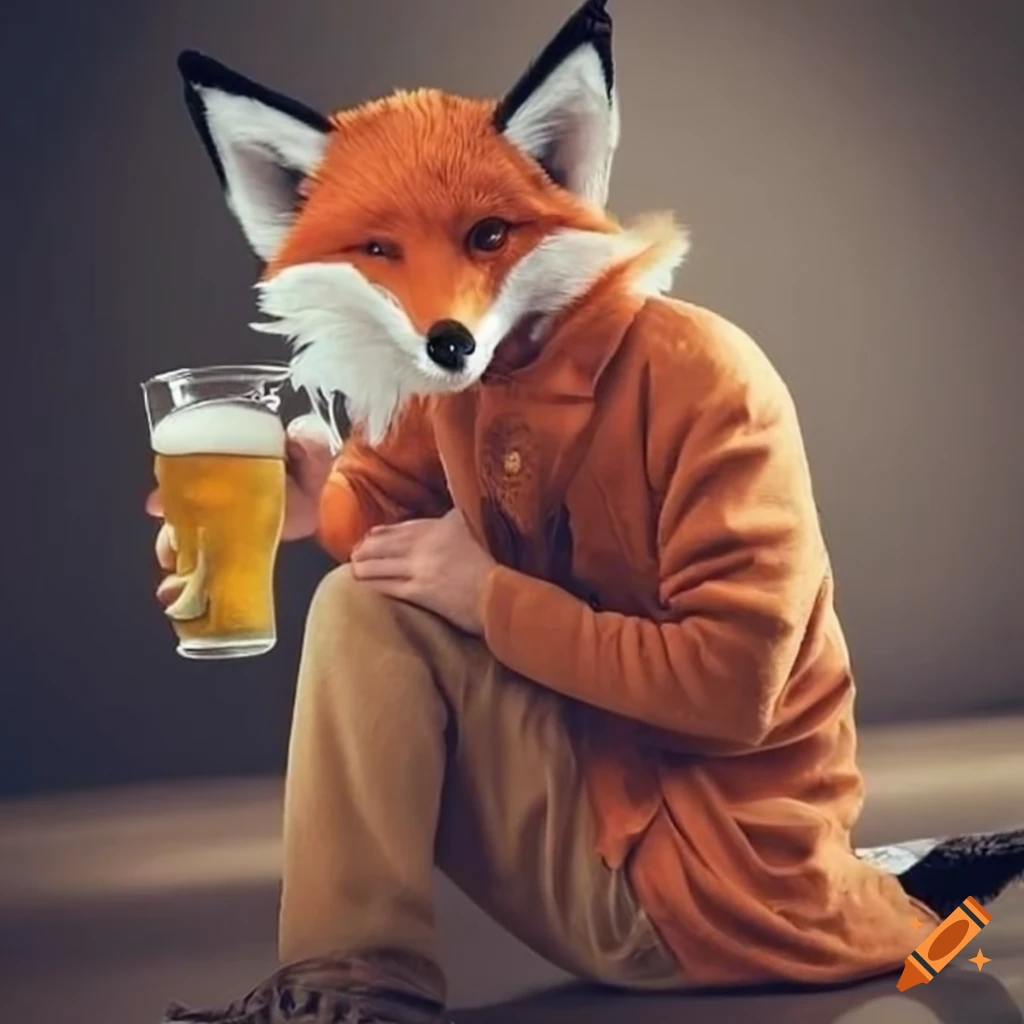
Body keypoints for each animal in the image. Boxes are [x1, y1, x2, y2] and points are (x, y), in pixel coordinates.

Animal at [173, 0, 1022, 1007]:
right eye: (379, 250)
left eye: (489, 235)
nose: (449, 345)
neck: (539, 370)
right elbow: (373, 489)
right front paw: (292, 482)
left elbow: (725, 661)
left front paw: (454, 570)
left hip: (625, 917)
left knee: (365, 606)